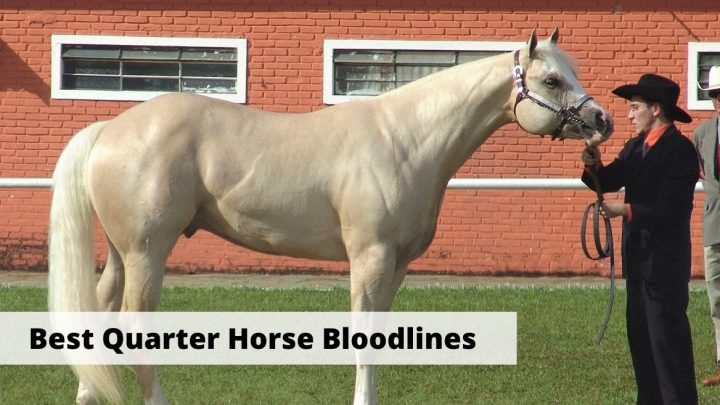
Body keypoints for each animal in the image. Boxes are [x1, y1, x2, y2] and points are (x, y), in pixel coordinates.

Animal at [48, 28, 613, 405]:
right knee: (132, 323)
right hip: (147, 252)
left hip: (122, 252)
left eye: (575, 72)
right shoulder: (369, 257)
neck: (405, 139)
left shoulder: (397, 265)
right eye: (551, 79)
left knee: (101, 313)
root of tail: (110, 128)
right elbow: (363, 336)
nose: (601, 121)